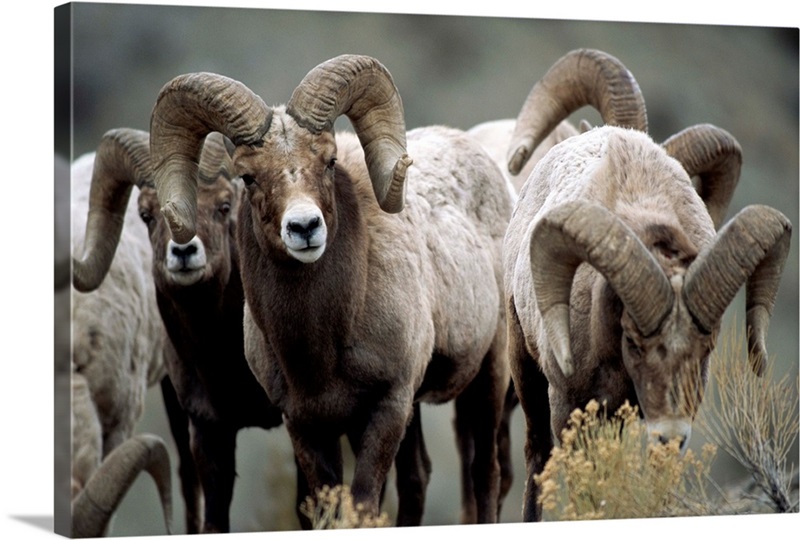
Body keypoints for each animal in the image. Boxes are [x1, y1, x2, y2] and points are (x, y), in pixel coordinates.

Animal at [147, 53, 513, 525]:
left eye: (330, 161)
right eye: (248, 177)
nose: (304, 227)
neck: (320, 348)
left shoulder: (386, 408)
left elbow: (362, 504)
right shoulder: (307, 425)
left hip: (488, 373)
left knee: (485, 472)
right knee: (418, 478)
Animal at [502, 65, 792, 521]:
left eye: (706, 348)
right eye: (634, 343)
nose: (670, 435)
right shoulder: (571, 407)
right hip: (524, 366)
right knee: (536, 455)